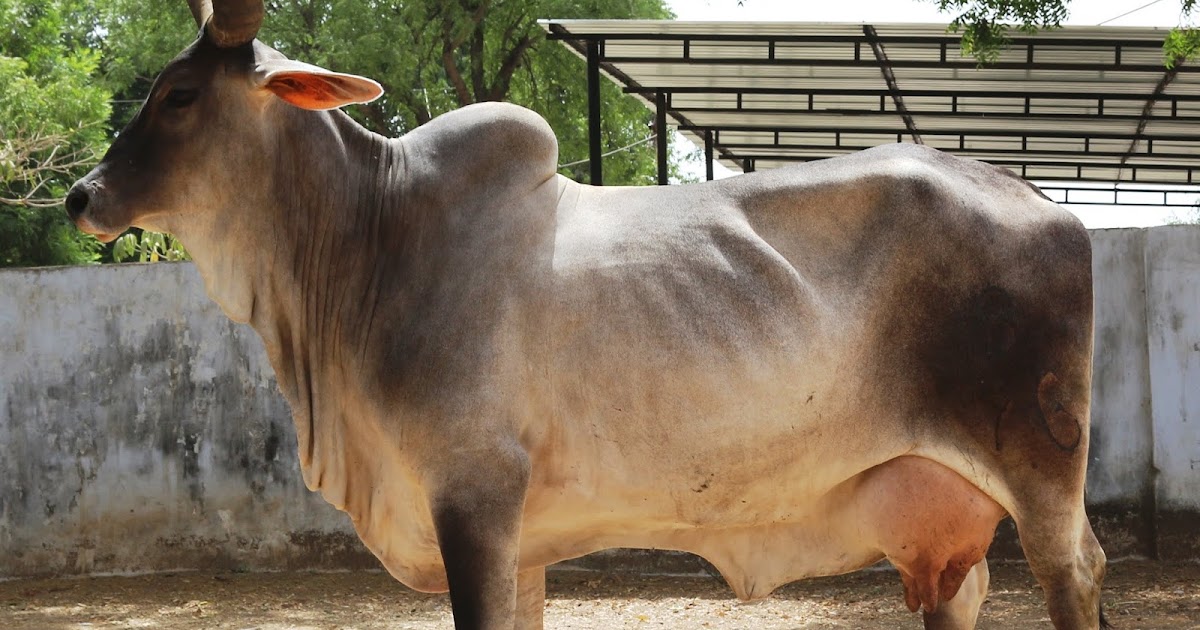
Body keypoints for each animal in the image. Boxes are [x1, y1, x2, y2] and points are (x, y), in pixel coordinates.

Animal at [66, 1, 1108, 628]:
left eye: (179, 93)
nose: (82, 197)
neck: (370, 234)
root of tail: (1042, 205)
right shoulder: (521, 542)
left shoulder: (473, 497)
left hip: (1039, 464)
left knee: (1074, 572)